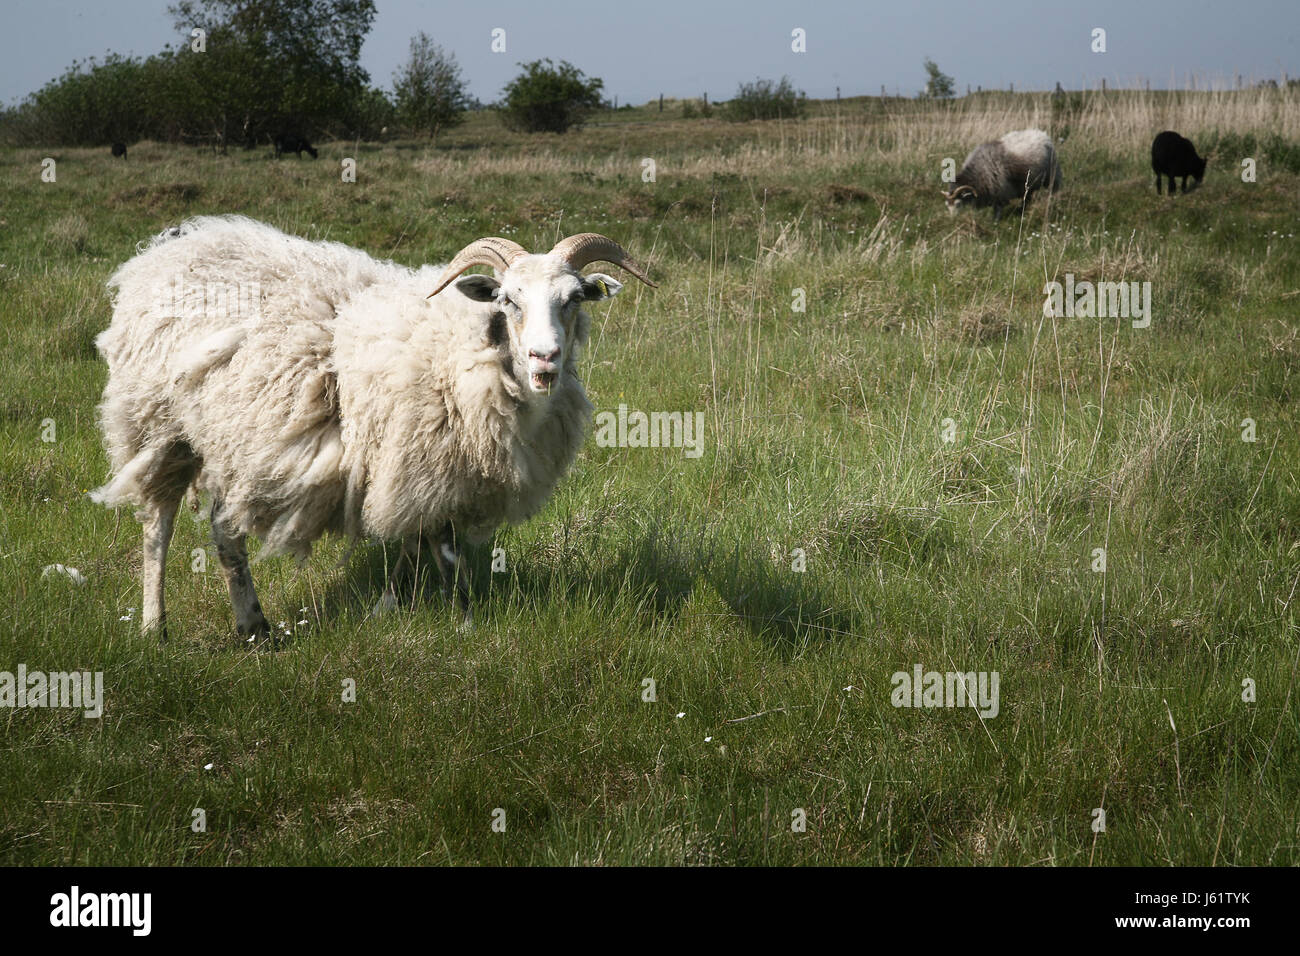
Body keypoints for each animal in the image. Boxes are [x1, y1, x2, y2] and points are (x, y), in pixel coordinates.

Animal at [89, 216, 656, 640]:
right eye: (508, 300)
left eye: (574, 299)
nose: (545, 358)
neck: (465, 345)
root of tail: (165, 251)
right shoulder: (423, 460)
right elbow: (445, 552)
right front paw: (466, 624)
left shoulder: (422, 469)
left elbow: (412, 545)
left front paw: (388, 606)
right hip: (159, 428)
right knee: (157, 527)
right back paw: (155, 627)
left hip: (231, 440)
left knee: (223, 529)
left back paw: (253, 626)